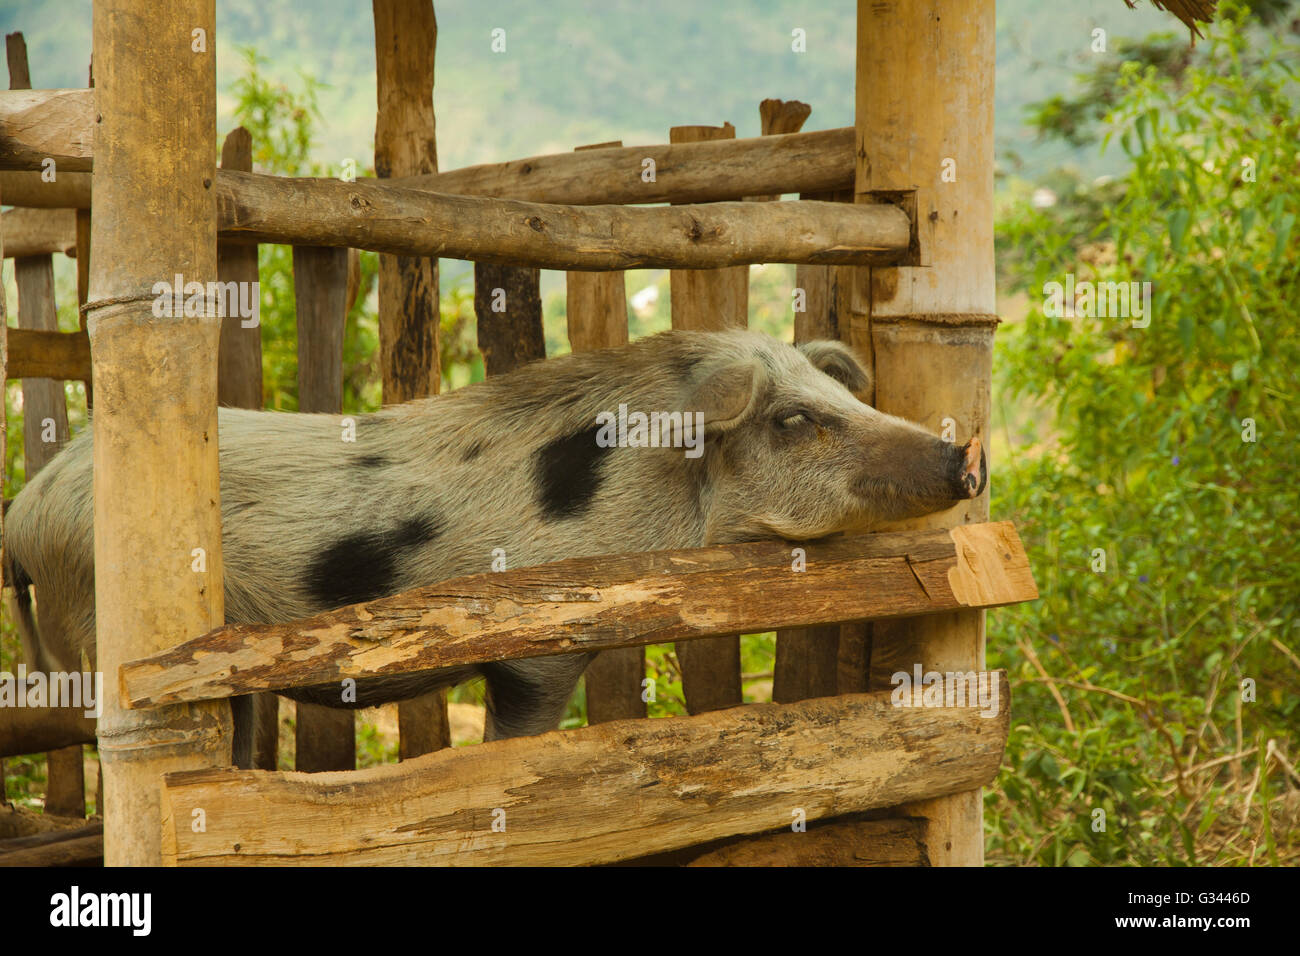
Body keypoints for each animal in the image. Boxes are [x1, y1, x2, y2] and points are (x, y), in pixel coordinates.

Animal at [3, 328, 985, 754]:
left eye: (847, 398)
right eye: (793, 421)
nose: (965, 455)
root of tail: (26, 507)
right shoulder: (535, 648)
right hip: (94, 609)